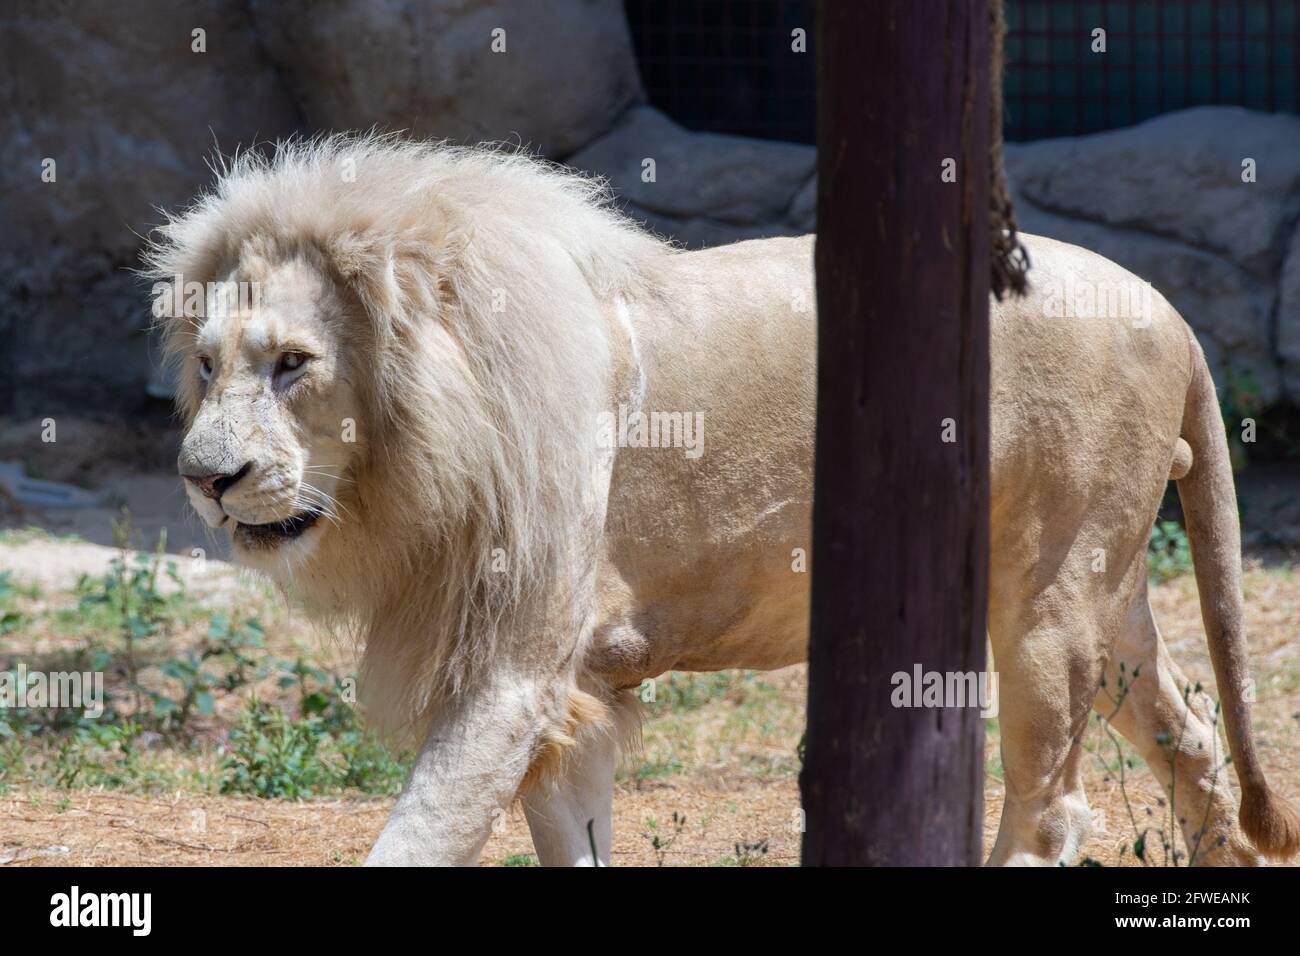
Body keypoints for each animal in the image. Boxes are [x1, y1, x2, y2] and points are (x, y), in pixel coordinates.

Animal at [146, 134, 1300, 866]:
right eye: (206, 364)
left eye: (293, 364)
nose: (204, 478)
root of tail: (1168, 310)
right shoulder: (572, 691)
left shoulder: (513, 670)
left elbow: (416, 836)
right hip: (1109, 594)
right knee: (1192, 737)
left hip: (1047, 600)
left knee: (1054, 806)